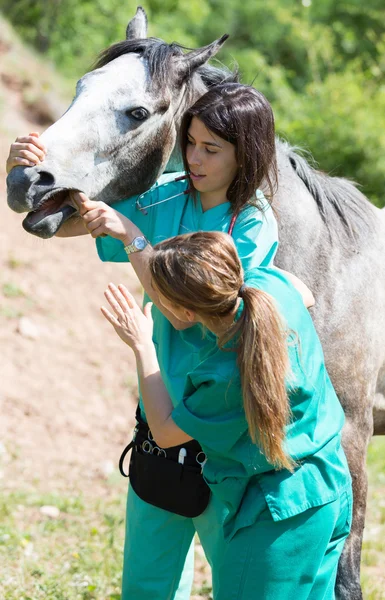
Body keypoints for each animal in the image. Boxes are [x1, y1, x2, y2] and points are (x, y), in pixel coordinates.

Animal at [6, 7, 384, 596]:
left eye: (138, 112)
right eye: (81, 87)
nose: (26, 179)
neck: (324, 261)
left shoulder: (352, 435)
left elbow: (346, 578)